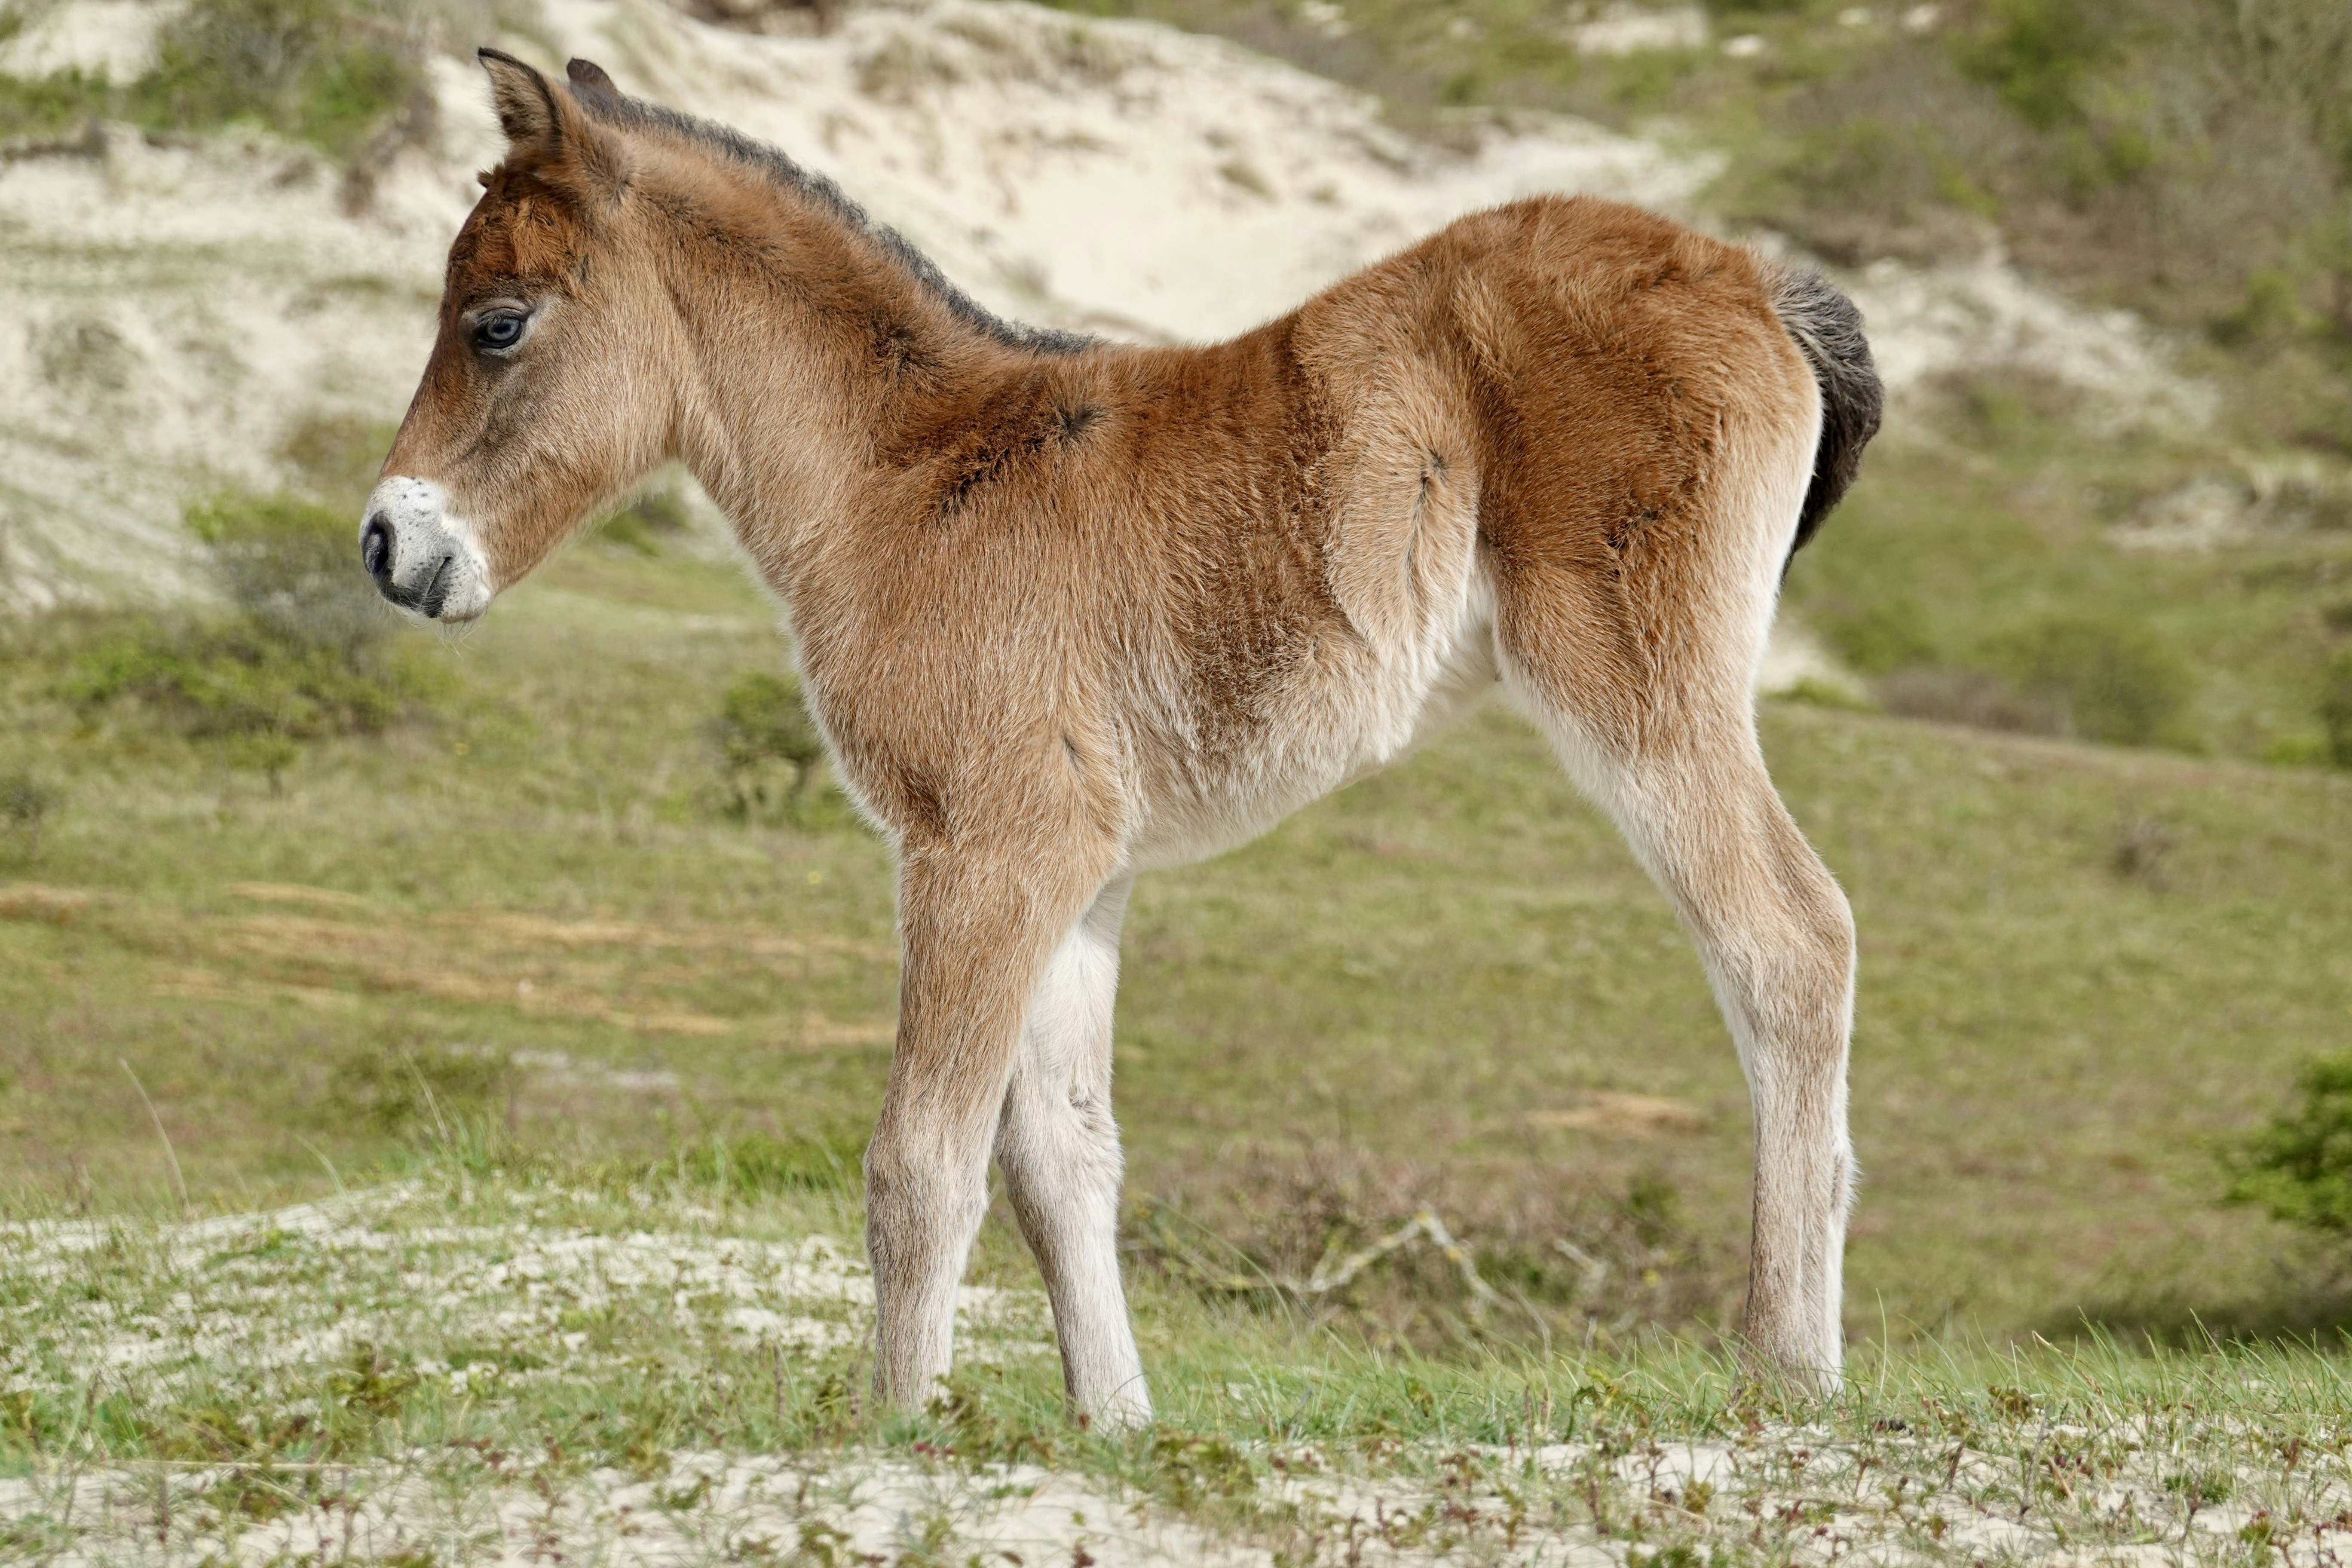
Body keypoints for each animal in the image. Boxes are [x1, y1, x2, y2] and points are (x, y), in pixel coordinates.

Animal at [361, 49, 1881, 1423]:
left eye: (497, 323)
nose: (389, 547)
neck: (907, 479)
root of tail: (1756, 276)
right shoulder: (1084, 869)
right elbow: (1061, 1158)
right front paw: (1116, 1422)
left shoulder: (982, 848)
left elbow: (922, 1159)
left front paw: (894, 1432)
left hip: (1637, 689)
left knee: (1789, 942)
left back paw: (1787, 1374)